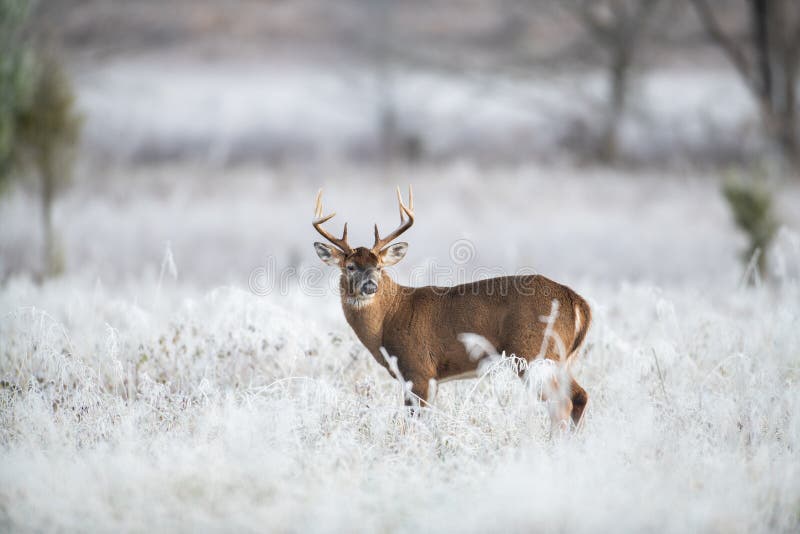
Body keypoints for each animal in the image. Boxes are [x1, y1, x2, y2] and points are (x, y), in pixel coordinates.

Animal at [312, 186, 592, 431]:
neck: (389, 317)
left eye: (379, 266)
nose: (370, 285)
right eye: (350, 267)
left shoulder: (419, 369)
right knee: (580, 396)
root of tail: (577, 300)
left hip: (534, 353)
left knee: (562, 405)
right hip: (557, 359)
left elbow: (412, 424)